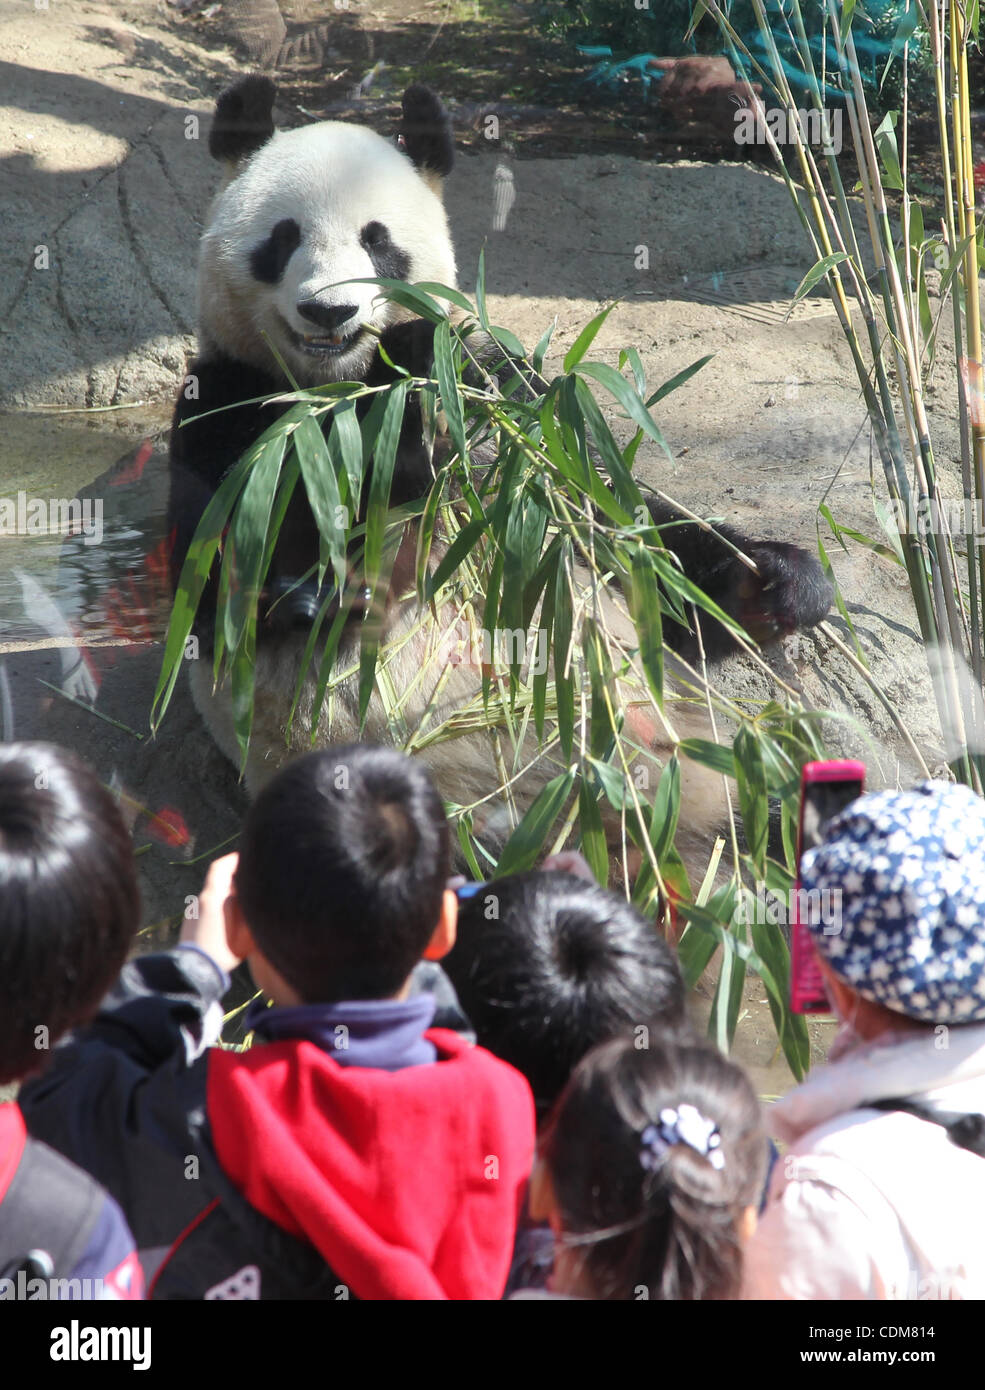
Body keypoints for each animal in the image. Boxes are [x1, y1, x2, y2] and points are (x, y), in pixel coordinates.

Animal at [168, 76, 833, 873]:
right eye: (283, 238)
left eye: (376, 240)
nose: (329, 311)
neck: (340, 385)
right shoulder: (227, 408)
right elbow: (224, 582)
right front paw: (320, 572)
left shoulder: (510, 406)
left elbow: (630, 537)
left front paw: (775, 582)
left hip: (721, 774)